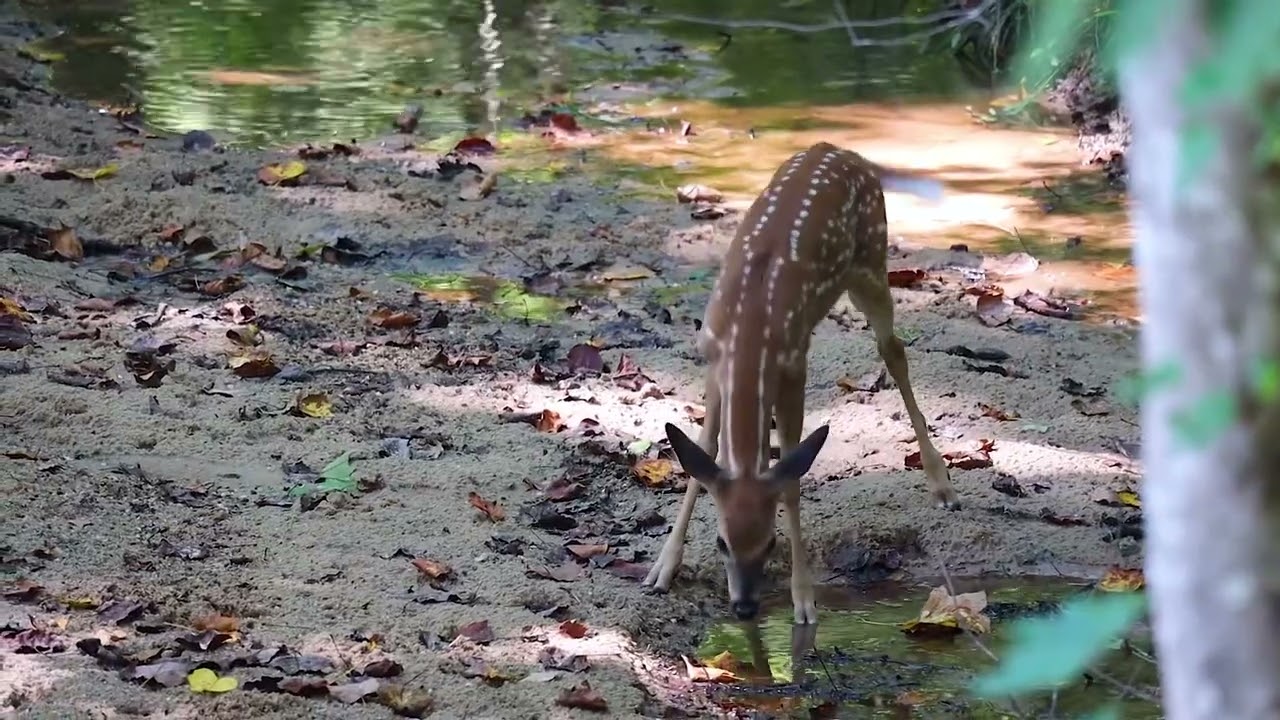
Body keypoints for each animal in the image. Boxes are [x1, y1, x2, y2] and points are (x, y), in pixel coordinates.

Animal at [643, 142, 961, 626]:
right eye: (720, 542)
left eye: (771, 543)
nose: (744, 607)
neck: (750, 334)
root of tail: (845, 152)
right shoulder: (712, 360)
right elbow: (703, 452)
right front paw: (662, 567)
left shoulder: (795, 365)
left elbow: (791, 476)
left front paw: (805, 600)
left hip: (871, 262)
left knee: (894, 350)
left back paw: (942, 485)